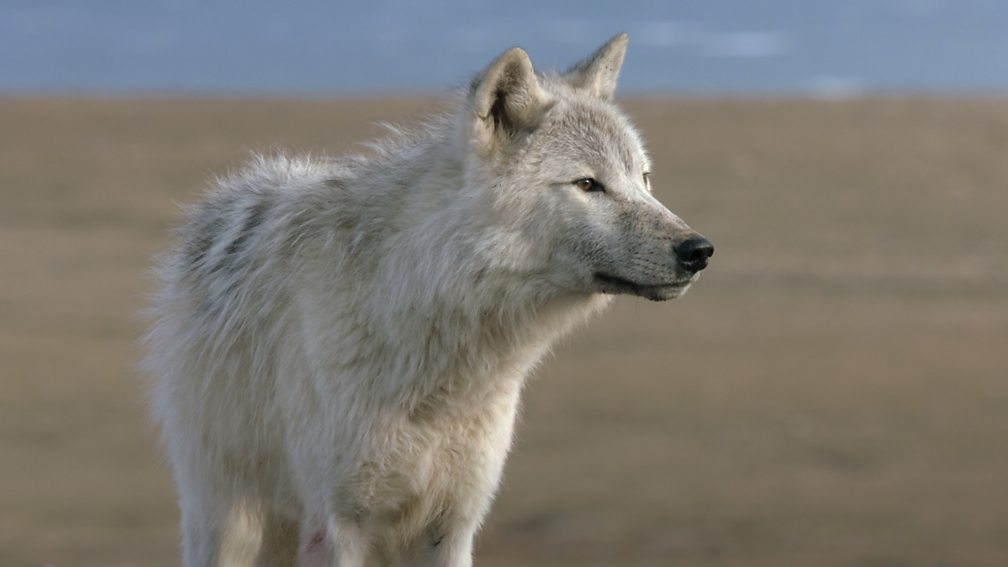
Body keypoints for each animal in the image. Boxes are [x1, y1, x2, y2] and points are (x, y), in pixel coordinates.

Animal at [145, 33, 713, 567]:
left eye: (643, 179)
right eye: (588, 184)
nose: (699, 250)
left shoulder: (453, 524)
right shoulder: (338, 524)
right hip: (229, 519)